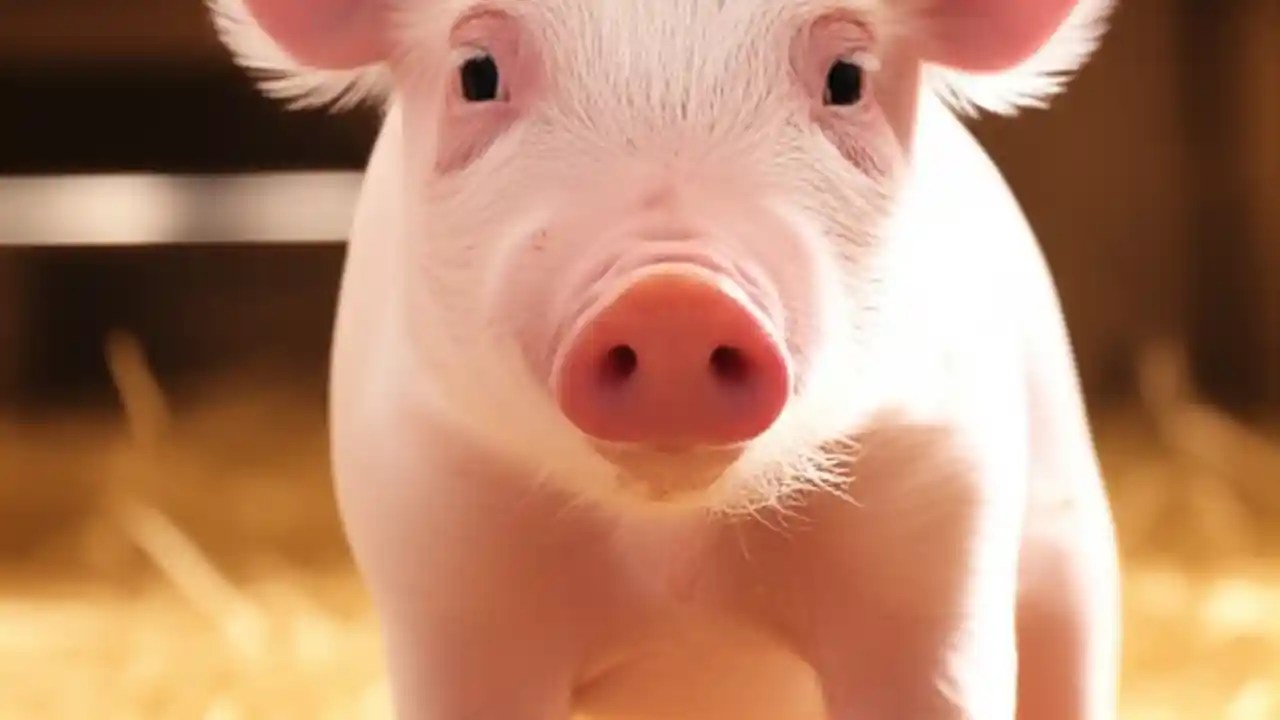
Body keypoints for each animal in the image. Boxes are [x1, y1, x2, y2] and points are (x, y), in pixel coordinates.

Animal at [210, 0, 1122, 718]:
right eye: (477, 72)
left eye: (846, 78)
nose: (674, 298)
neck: (677, 562)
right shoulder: (436, 544)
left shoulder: (938, 513)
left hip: (1070, 545)